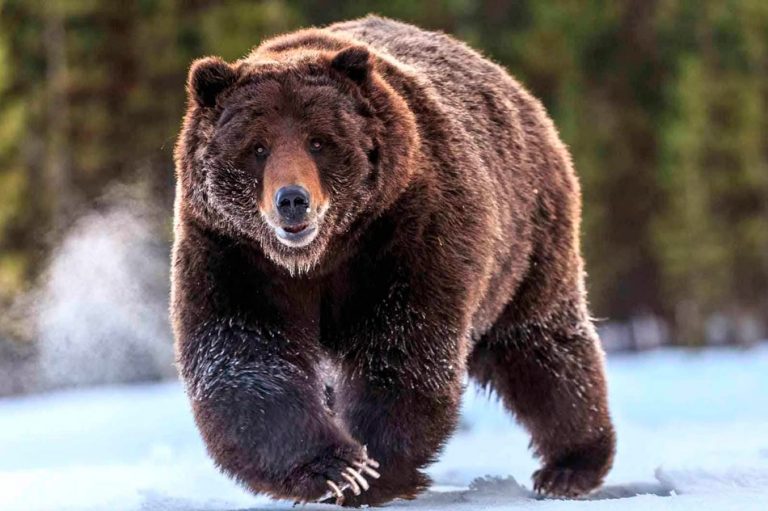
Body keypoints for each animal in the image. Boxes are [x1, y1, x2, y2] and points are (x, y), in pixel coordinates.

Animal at [172, 15, 615, 507]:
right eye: (257, 146)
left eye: (319, 141)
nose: (292, 200)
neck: (318, 257)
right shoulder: (234, 253)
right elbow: (247, 358)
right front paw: (337, 468)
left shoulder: (406, 232)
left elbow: (401, 348)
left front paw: (373, 467)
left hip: (527, 240)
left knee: (541, 347)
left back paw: (570, 465)